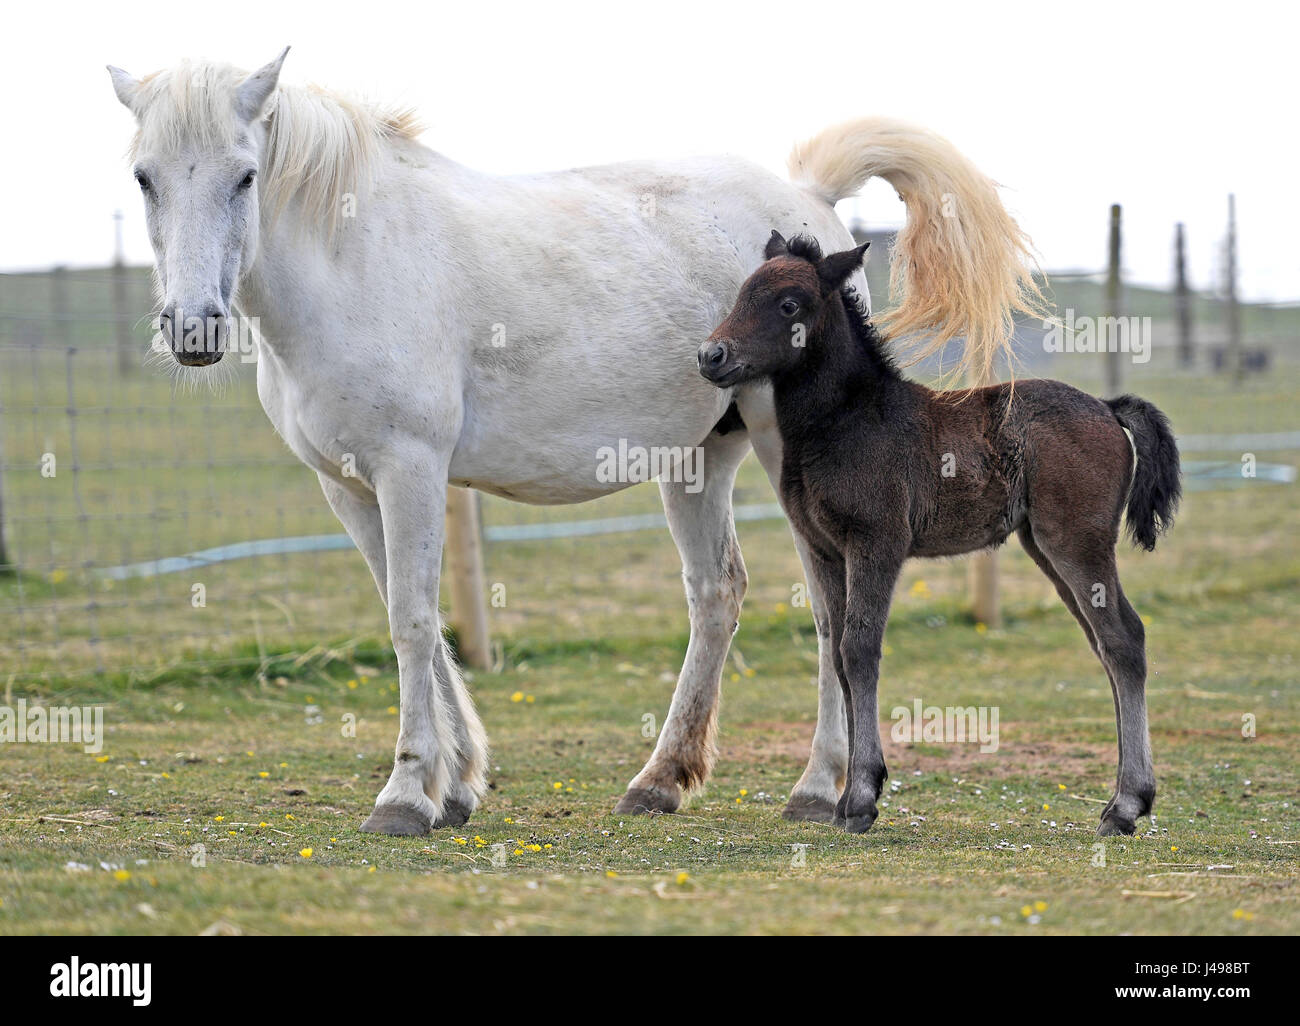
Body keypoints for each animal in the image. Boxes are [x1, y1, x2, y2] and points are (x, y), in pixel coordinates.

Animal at [107, 48, 1047, 835]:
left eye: (245, 176)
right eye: (145, 177)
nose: (192, 328)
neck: (352, 254)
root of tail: (810, 201)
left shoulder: (410, 470)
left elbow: (412, 620)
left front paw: (407, 793)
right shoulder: (345, 485)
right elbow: (416, 620)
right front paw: (459, 784)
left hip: (790, 462)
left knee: (827, 608)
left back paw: (819, 787)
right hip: (697, 460)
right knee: (717, 595)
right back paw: (661, 780)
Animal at [698, 231, 1181, 836]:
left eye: (789, 304)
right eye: (744, 292)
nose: (711, 356)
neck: (846, 420)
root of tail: (1108, 408)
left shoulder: (876, 543)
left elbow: (859, 649)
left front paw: (862, 798)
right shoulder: (826, 550)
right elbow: (839, 659)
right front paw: (848, 796)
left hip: (1077, 540)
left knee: (1123, 638)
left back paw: (1126, 805)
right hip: (1044, 546)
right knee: (1105, 642)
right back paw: (1123, 798)